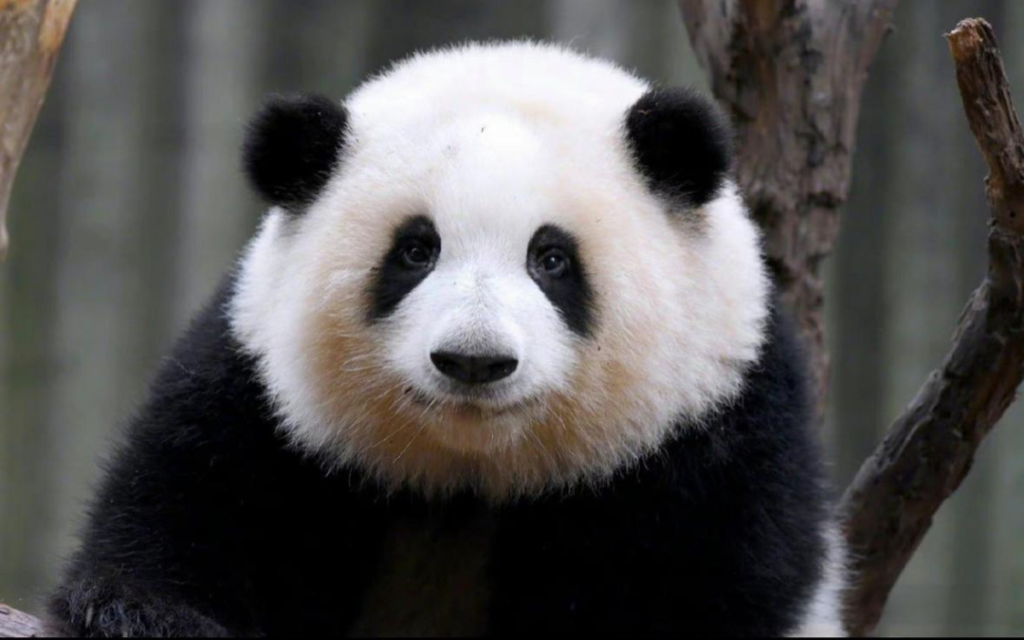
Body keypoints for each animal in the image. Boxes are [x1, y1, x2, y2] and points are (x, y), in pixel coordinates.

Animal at [48, 42, 846, 637]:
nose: (474, 360)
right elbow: (181, 509)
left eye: (551, 259)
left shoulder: (714, 429)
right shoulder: (260, 395)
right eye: (415, 250)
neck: (470, 478)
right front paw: (143, 618)